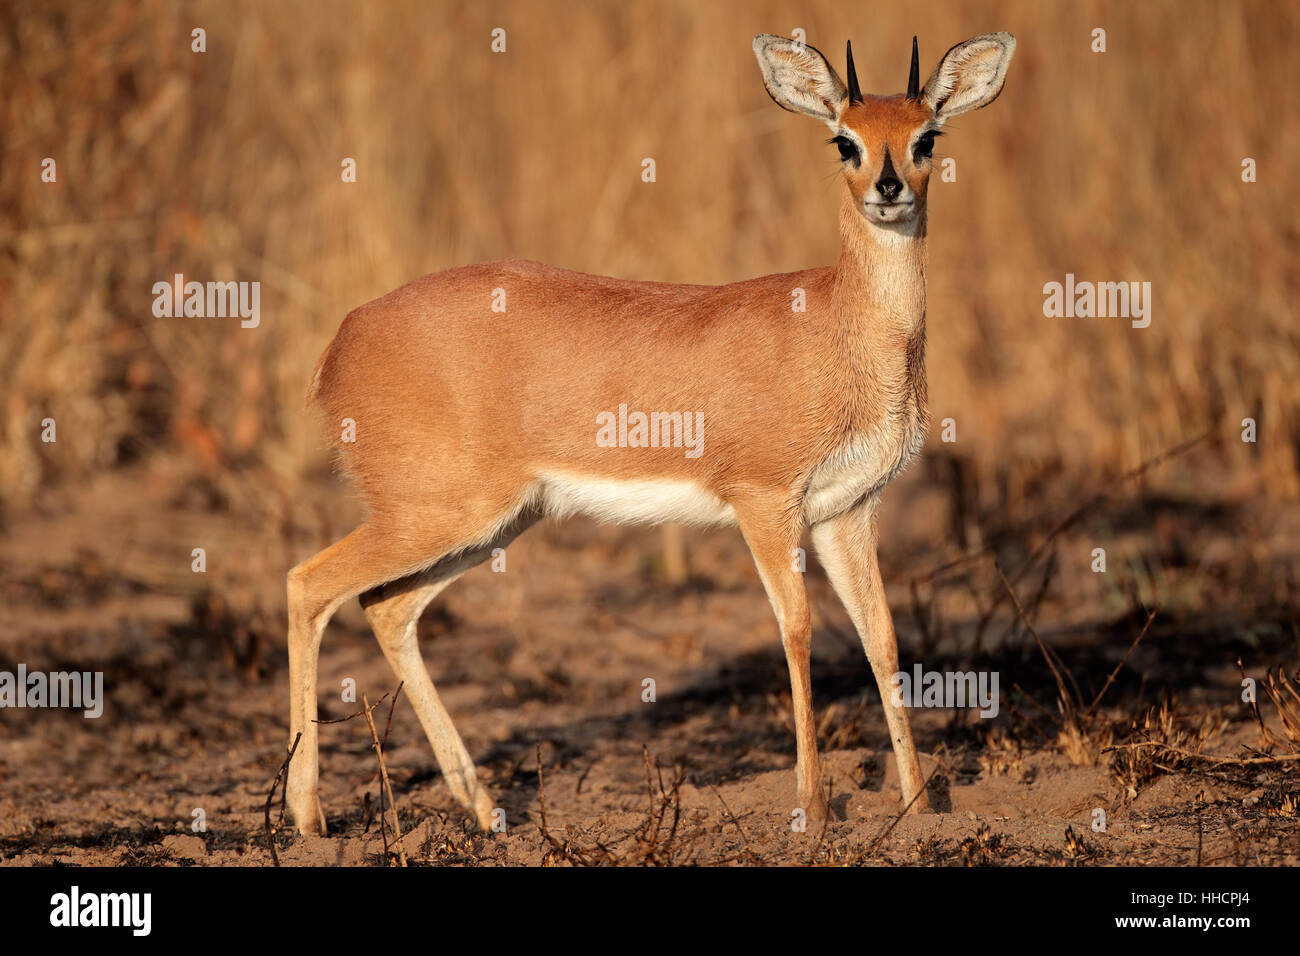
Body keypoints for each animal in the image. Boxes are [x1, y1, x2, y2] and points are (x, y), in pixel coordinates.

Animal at [286, 31, 1016, 835]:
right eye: (844, 140)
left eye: (926, 136)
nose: (889, 189)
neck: (841, 324)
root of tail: (341, 342)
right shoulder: (765, 502)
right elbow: (796, 630)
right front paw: (813, 806)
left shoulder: (848, 511)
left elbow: (881, 637)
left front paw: (918, 804)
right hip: (440, 515)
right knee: (306, 585)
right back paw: (309, 816)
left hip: (492, 524)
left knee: (385, 608)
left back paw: (482, 808)